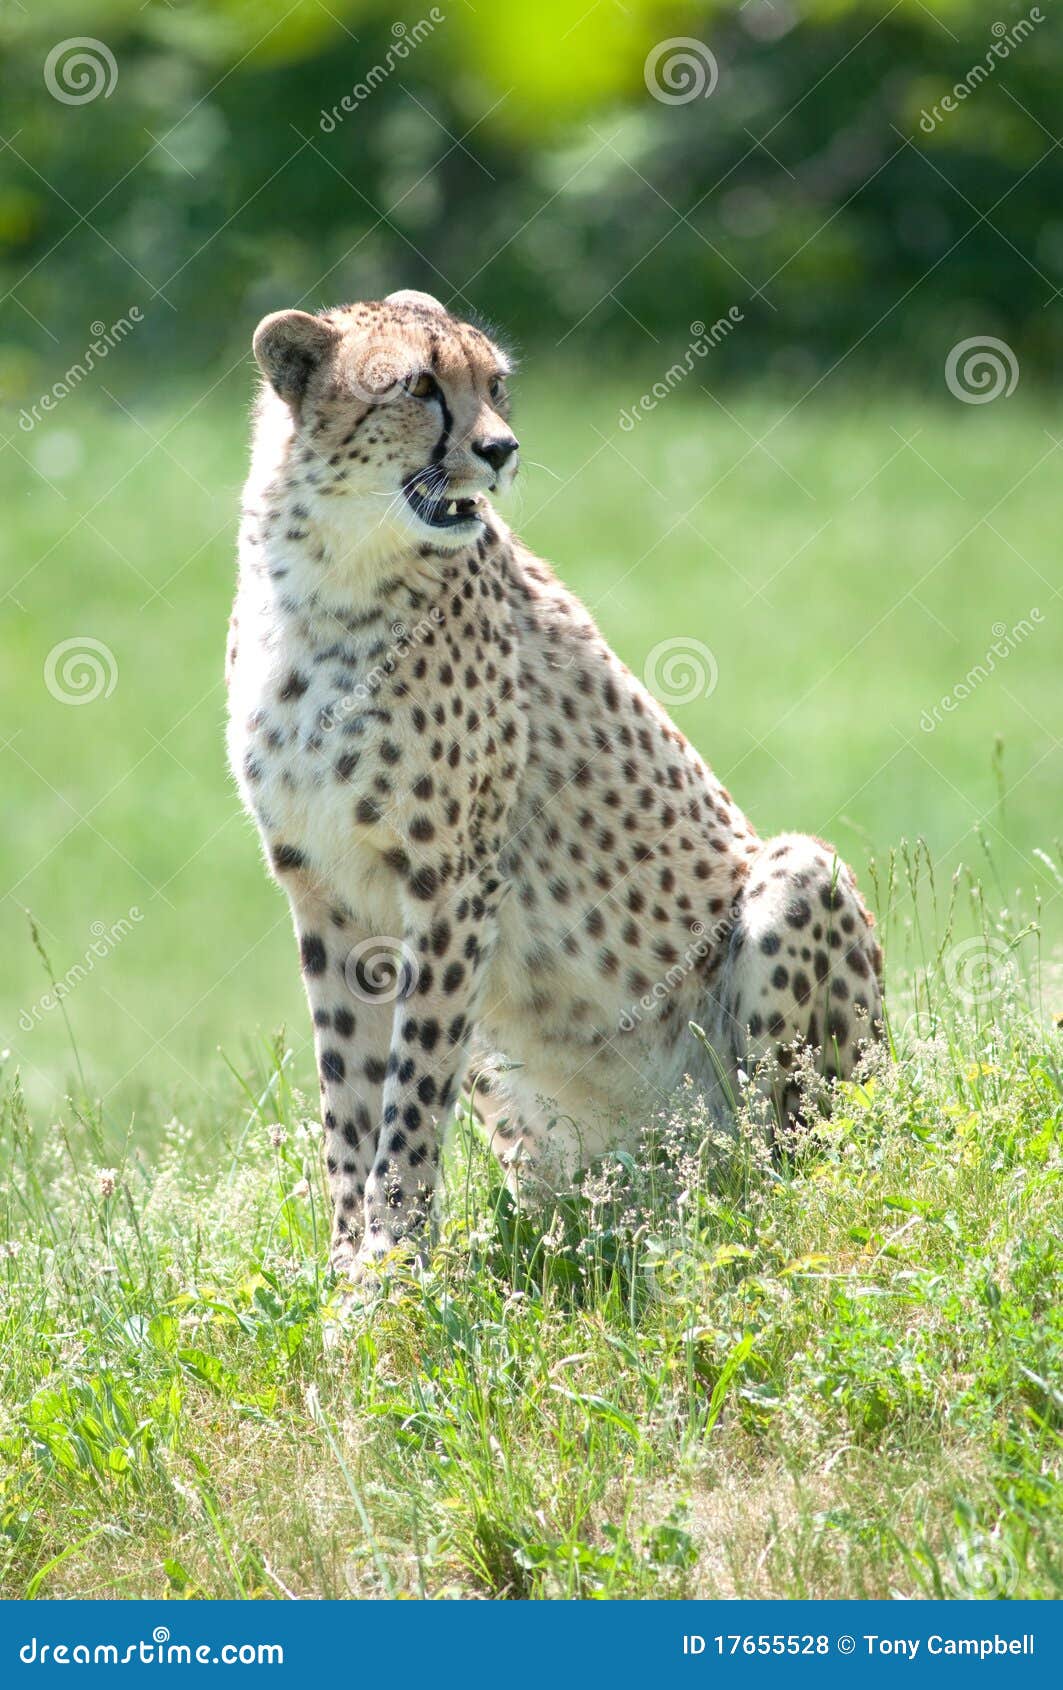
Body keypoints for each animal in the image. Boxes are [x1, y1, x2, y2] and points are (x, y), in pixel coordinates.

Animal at [226, 288, 883, 1283]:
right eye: (418, 387)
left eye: (494, 384)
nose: (501, 449)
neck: (331, 568)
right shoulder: (327, 895)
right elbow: (351, 1095)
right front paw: (346, 1266)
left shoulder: (452, 885)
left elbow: (409, 1096)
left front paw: (391, 1267)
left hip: (800, 913)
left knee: (786, 1164)